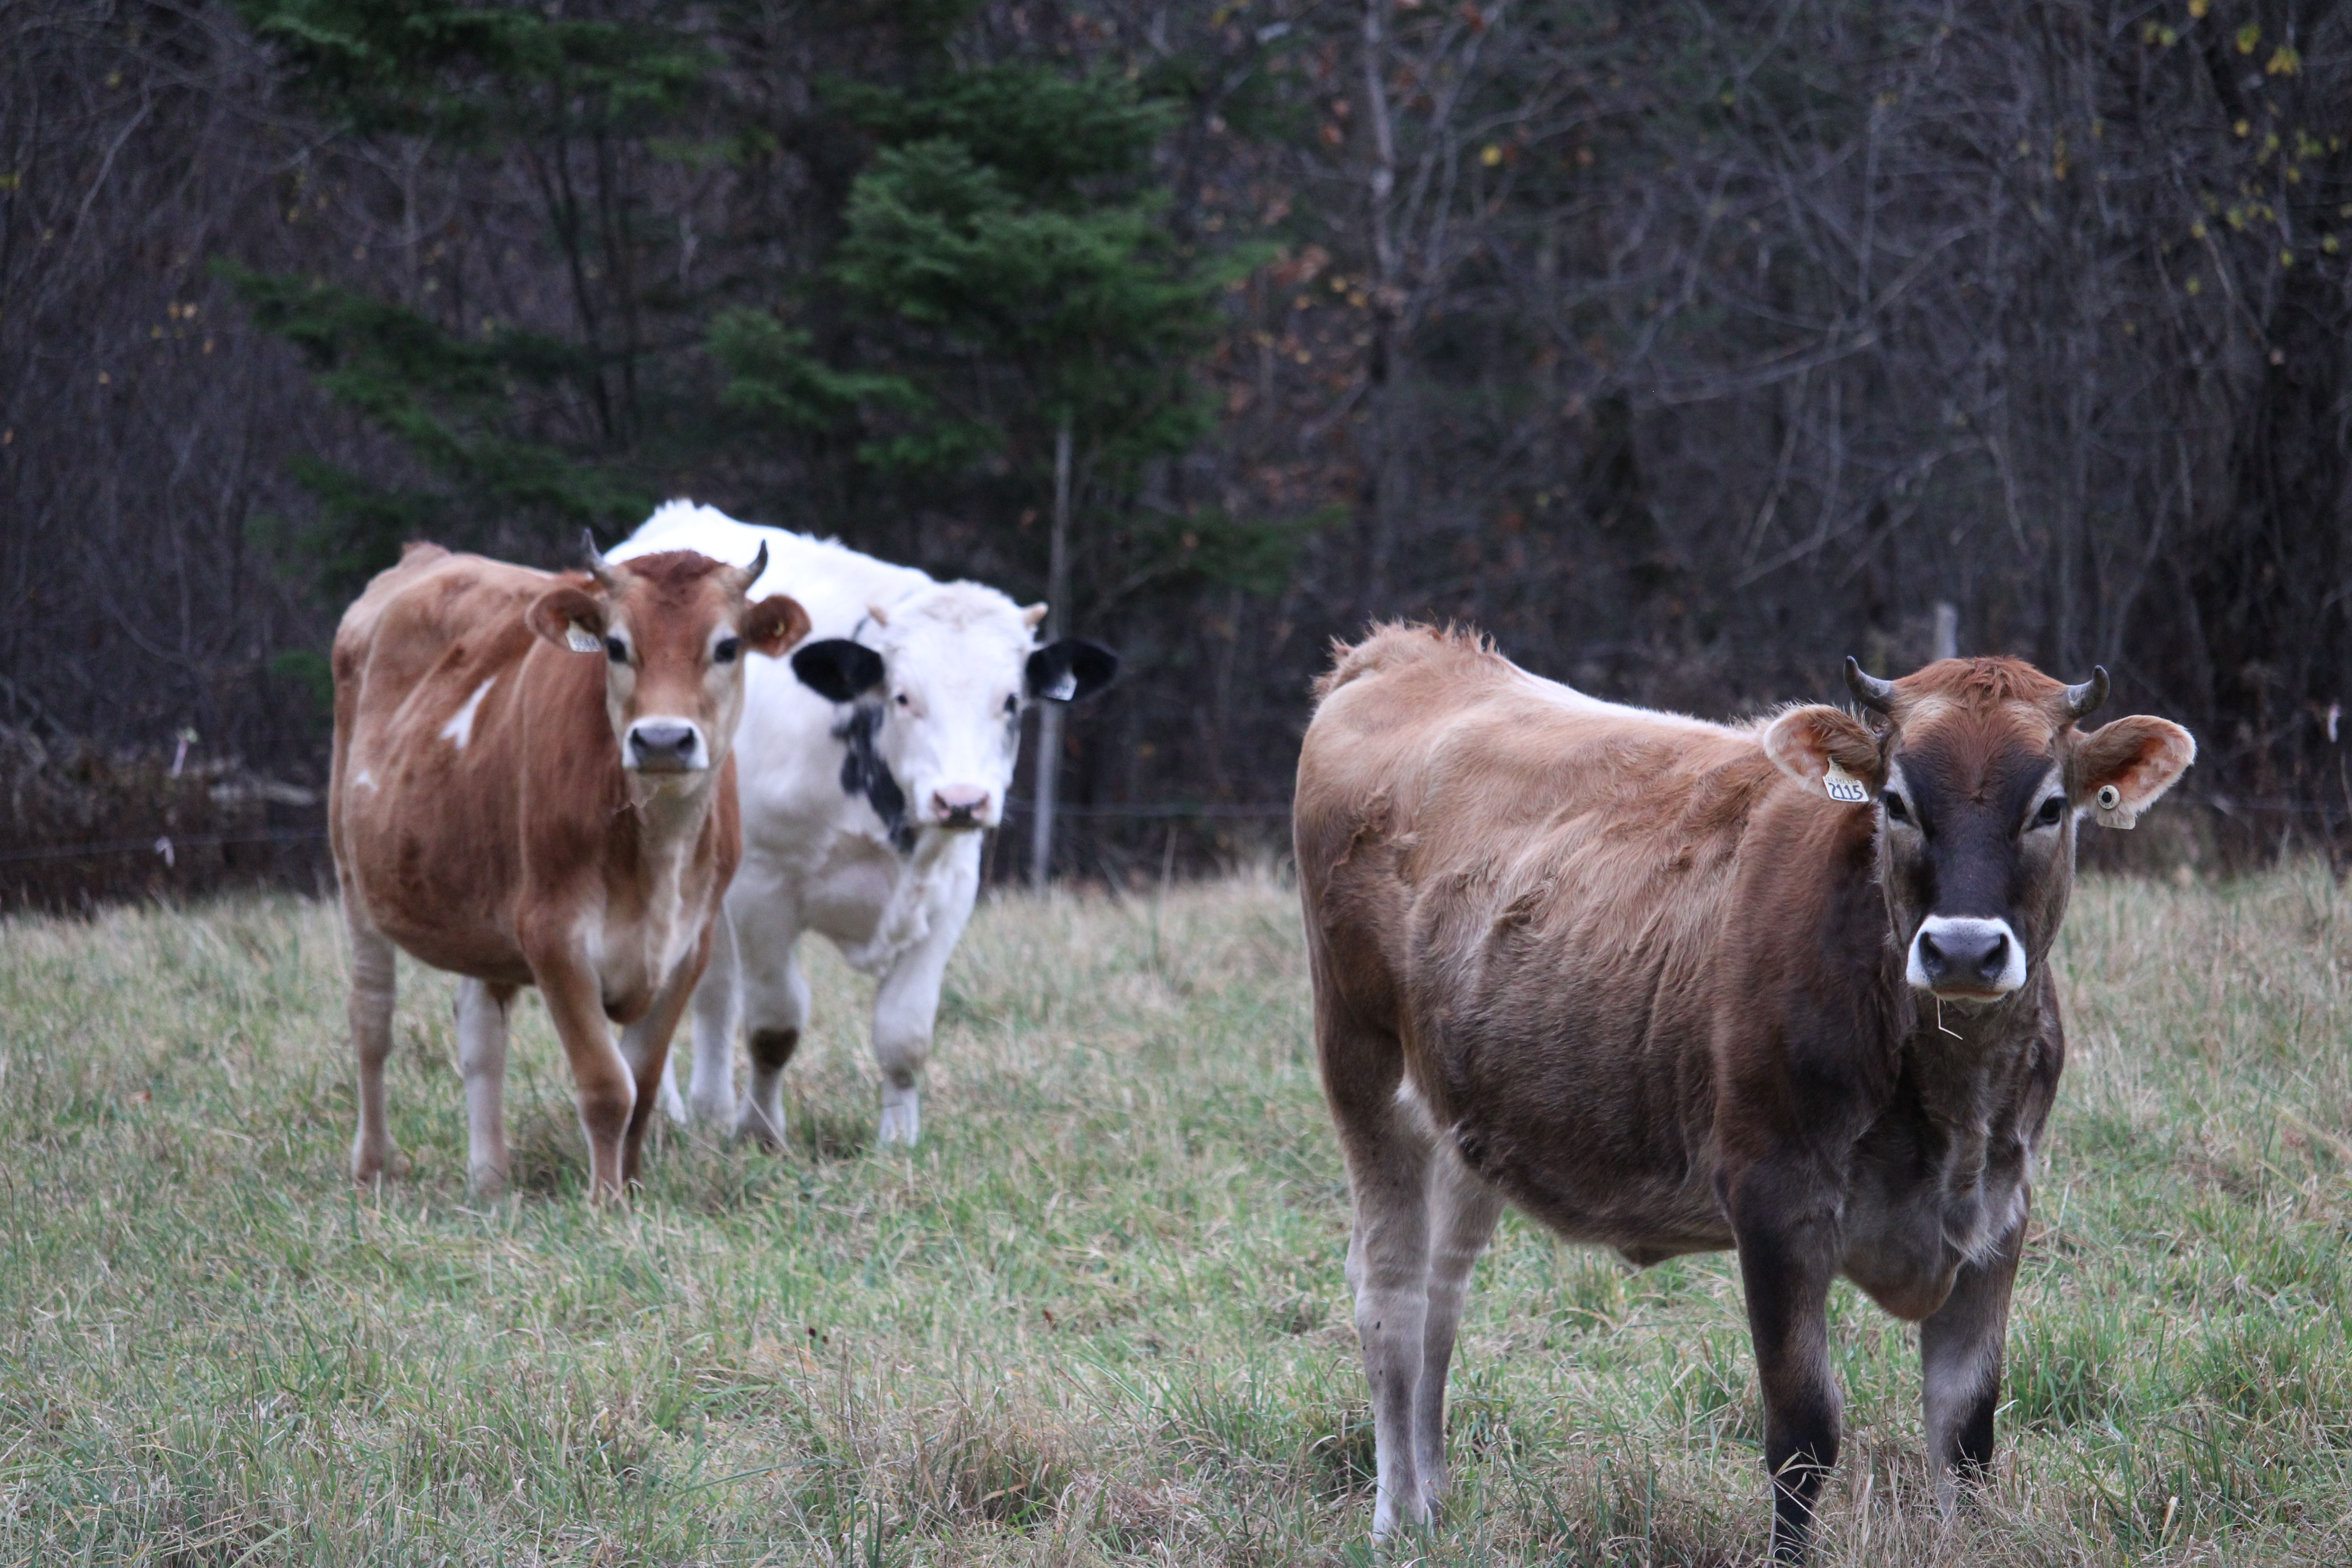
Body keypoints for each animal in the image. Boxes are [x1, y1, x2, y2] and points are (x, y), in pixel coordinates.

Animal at [329, 538, 810, 1203]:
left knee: (481, 1036)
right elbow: (608, 1088)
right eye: (616, 645)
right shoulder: (554, 936)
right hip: (354, 876)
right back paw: (374, 1165)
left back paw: (490, 1181)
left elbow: (644, 1087)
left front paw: (632, 1192)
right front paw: (605, 1201)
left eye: (727, 646)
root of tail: (429, 555)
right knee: (372, 1021)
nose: (664, 740)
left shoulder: (691, 947)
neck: (656, 852)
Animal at [606, 501, 1118, 1148]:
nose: (961, 800)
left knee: (713, 991)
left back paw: (706, 1108)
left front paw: (898, 1141)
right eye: (902, 697)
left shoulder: (951, 891)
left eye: (1009, 702)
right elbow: (774, 1025)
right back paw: (678, 1110)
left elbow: (906, 1034)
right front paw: (761, 1132)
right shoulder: (762, 889)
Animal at [1292, 626, 2196, 1561]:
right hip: (1361, 1067)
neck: (1950, 1098)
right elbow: (1803, 1435)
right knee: (1392, 1289)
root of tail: (1407, 652)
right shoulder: (1774, 1204)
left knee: (1443, 1290)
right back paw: (1397, 1515)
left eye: (2050, 807)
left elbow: (1967, 1433)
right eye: (1897, 801)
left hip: (1467, 1119)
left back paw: (1435, 1504)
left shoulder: (1999, 1210)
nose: (1963, 950)